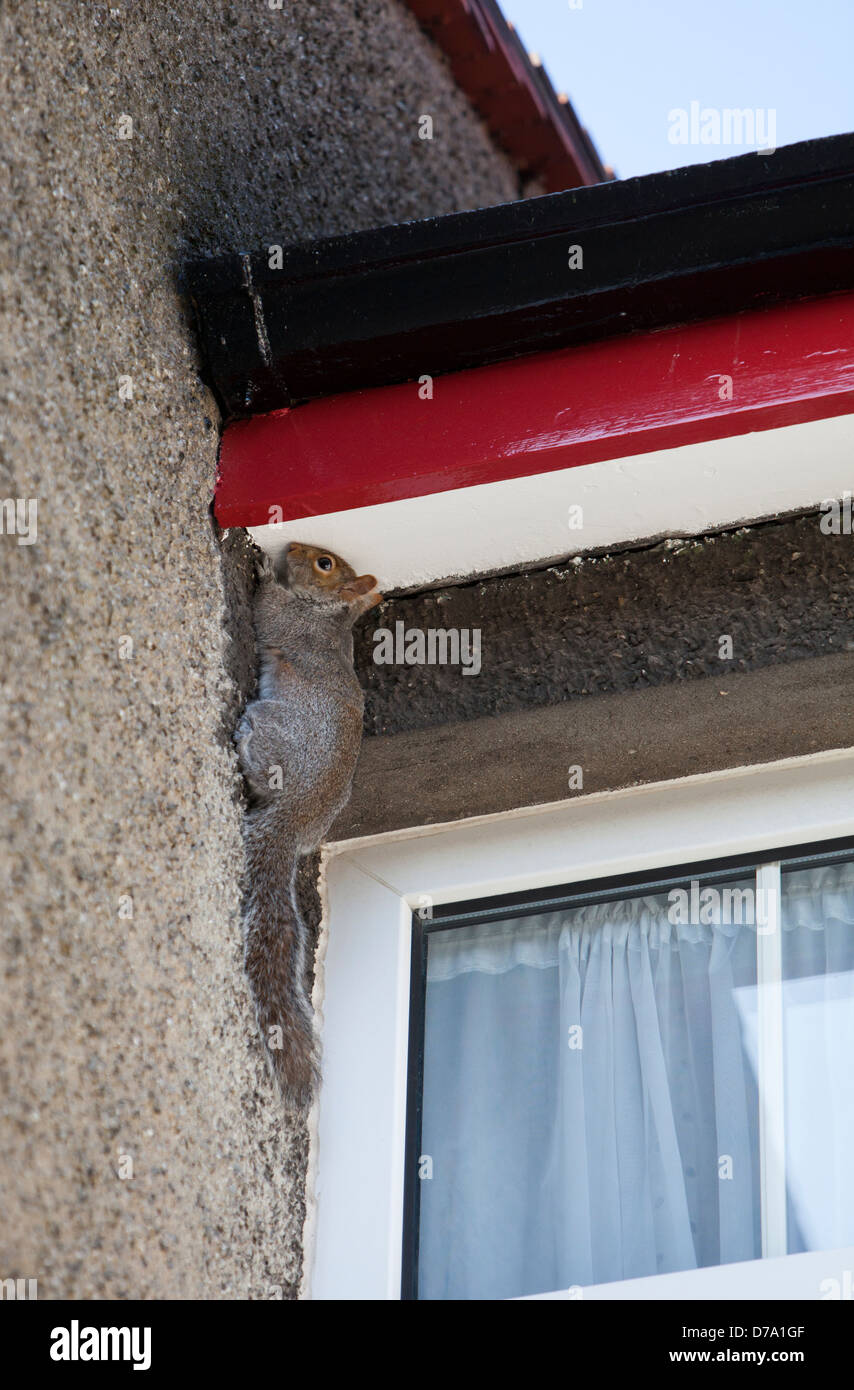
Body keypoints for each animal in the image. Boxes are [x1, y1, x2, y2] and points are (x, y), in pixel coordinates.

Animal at [235, 541, 381, 1104]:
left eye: (324, 564)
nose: (291, 547)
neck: (328, 613)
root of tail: (293, 819)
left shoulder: (291, 623)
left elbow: (266, 611)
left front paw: (260, 570)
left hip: (275, 732)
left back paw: (242, 737)